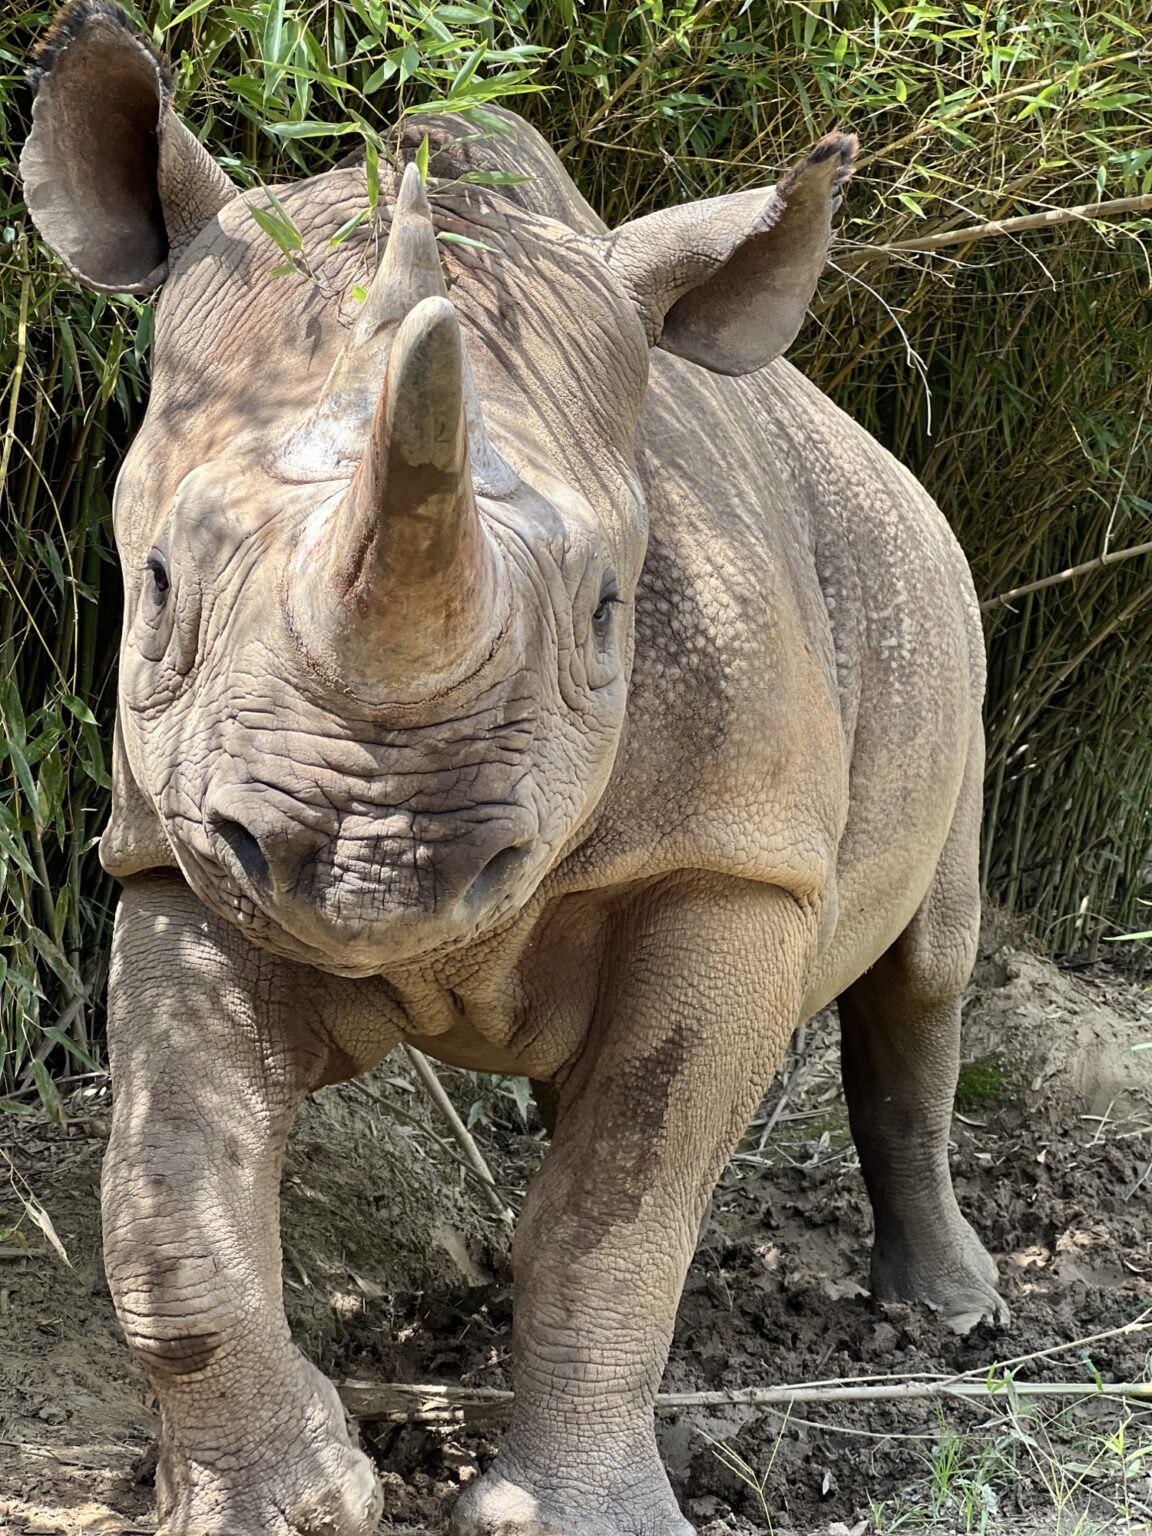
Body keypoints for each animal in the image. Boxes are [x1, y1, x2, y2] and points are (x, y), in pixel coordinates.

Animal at [21, 4, 1008, 1533]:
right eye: (160, 583)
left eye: (609, 612)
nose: (371, 868)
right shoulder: (178, 847)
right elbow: (168, 1186)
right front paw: (273, 1504)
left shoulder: (732, 861)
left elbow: (621, 1210)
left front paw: (577, 1518)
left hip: (945, 607)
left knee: (928, 968)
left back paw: (950, 1317)